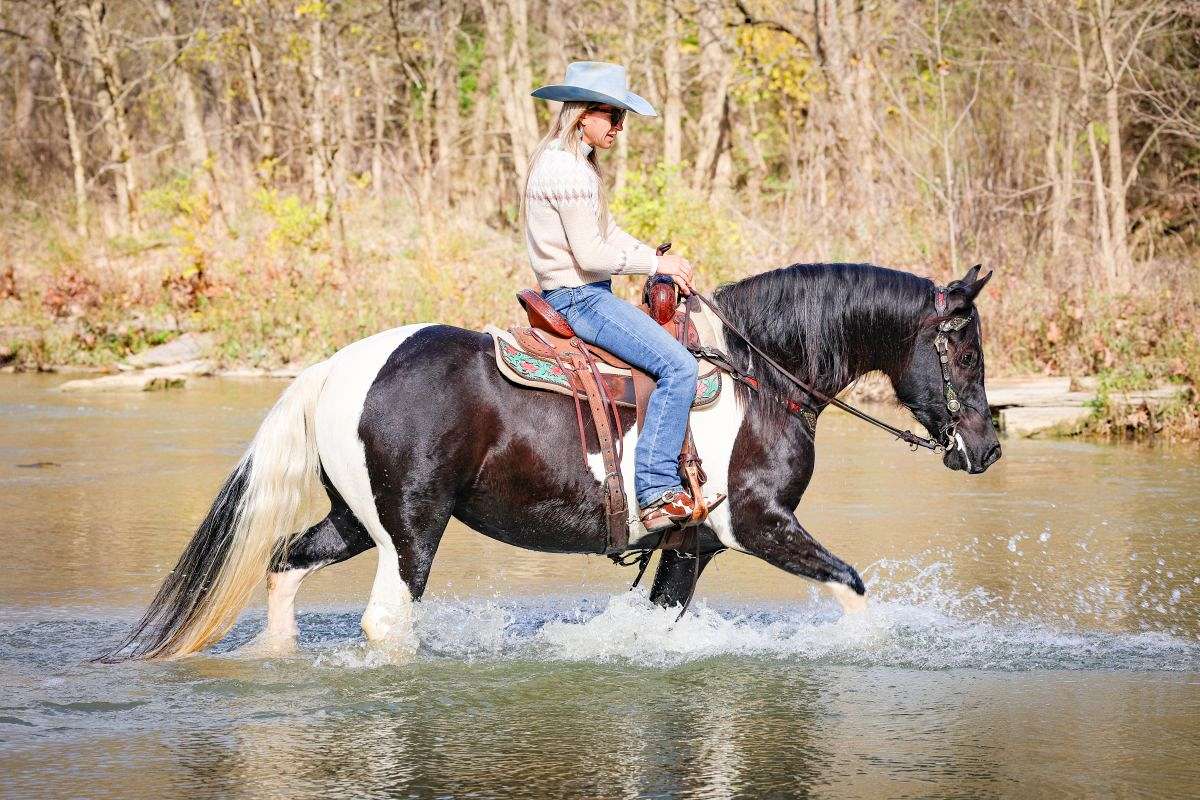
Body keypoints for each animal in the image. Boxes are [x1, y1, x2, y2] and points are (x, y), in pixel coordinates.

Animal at [101, 262, 1000, 661]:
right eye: (965, 348)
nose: (987, 447)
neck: (762, 379)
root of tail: (337, 368)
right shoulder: (759, 525)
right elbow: (851, 586)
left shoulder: (691, 546)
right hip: (410, 531)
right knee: (387, 621)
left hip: (355, 521)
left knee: (285, 565)